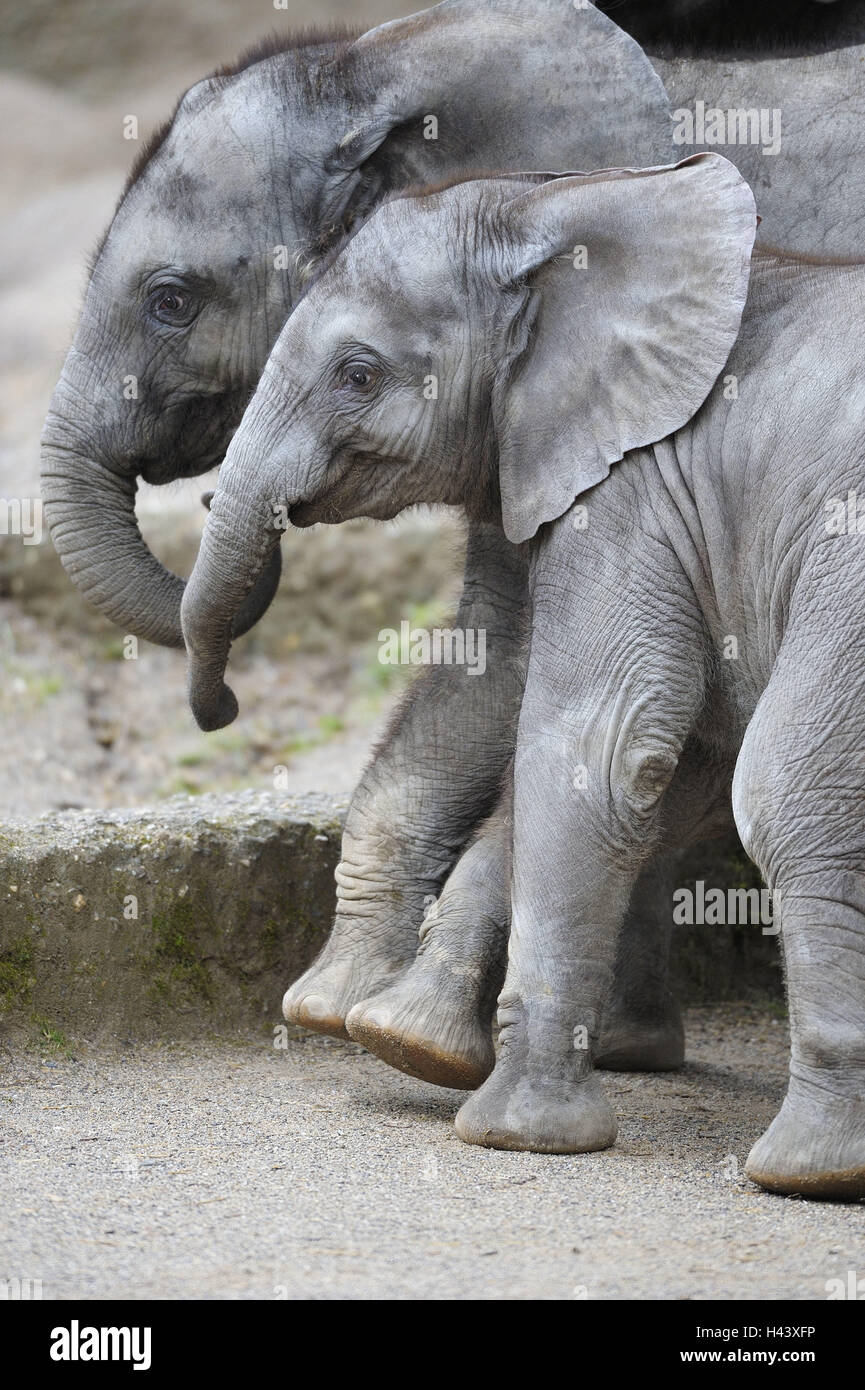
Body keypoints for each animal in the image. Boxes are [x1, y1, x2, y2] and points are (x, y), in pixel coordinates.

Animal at [42, 1, 865, 1083]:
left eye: (171, 299)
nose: (220, 711)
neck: (395, 58)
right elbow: (492, 649)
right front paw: (346, 1013)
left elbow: (529, 669)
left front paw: (375, 1029)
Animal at [181, 153, 865, 1200]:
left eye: (358, 374)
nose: (220, 708)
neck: (561, 206)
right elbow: (648, 753)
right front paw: (402, 1039)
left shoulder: (633, 492)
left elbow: (602, 748)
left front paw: (509, 1133)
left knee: (791, 793)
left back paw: (808, 1172)